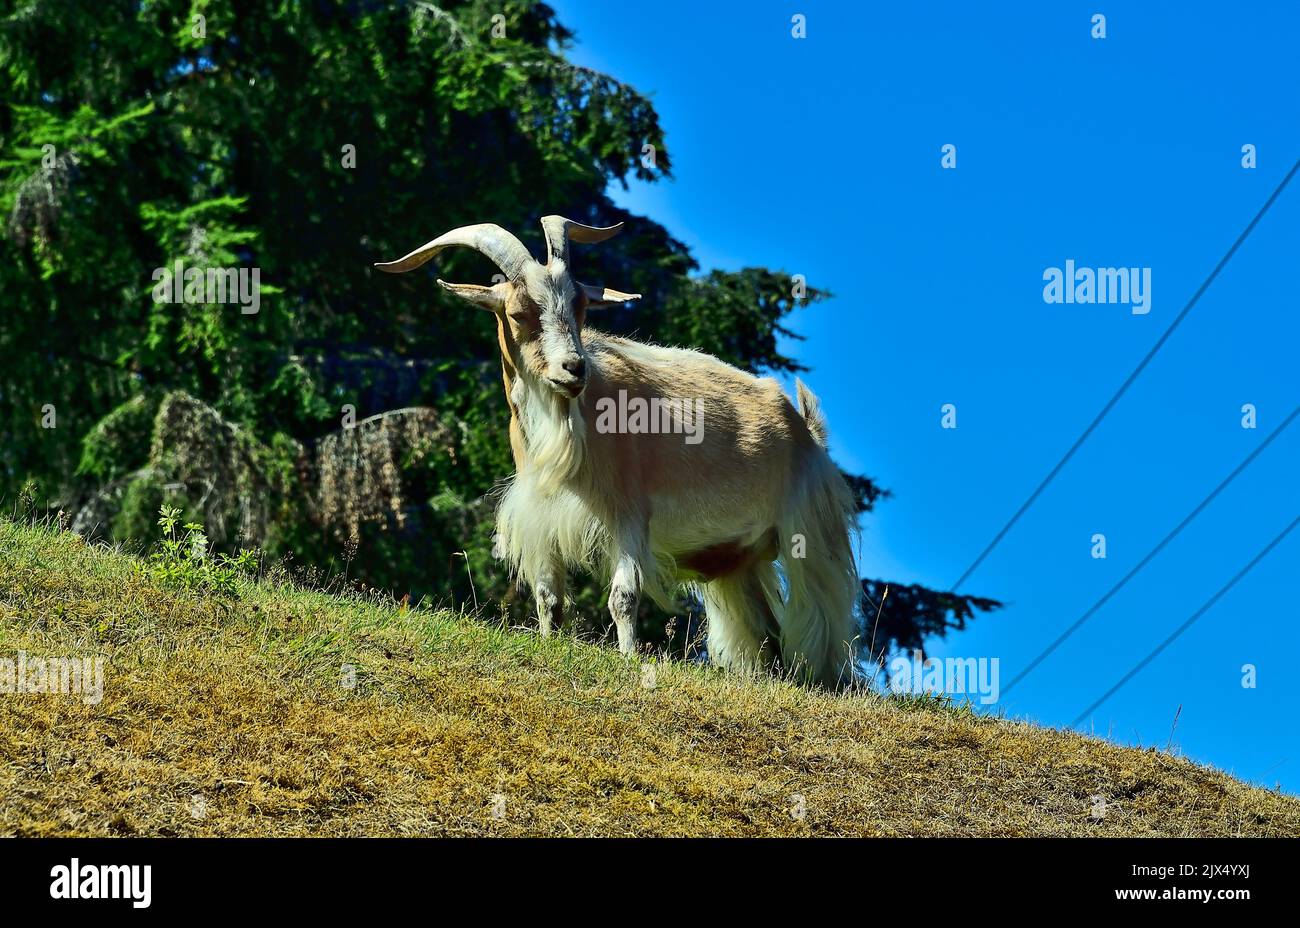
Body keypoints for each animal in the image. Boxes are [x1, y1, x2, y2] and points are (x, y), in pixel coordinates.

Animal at [376, 217, 859, 686]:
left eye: (580, 307)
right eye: (518, 312)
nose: (574, 369)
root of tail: (803, 427)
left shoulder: (629, 514)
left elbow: (623, 596)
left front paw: (629, 659)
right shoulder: (542, 516)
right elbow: (549, 595)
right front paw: (549, 642)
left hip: (809, 533)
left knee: (821, 619)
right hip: (736, 559)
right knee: (764, 631)